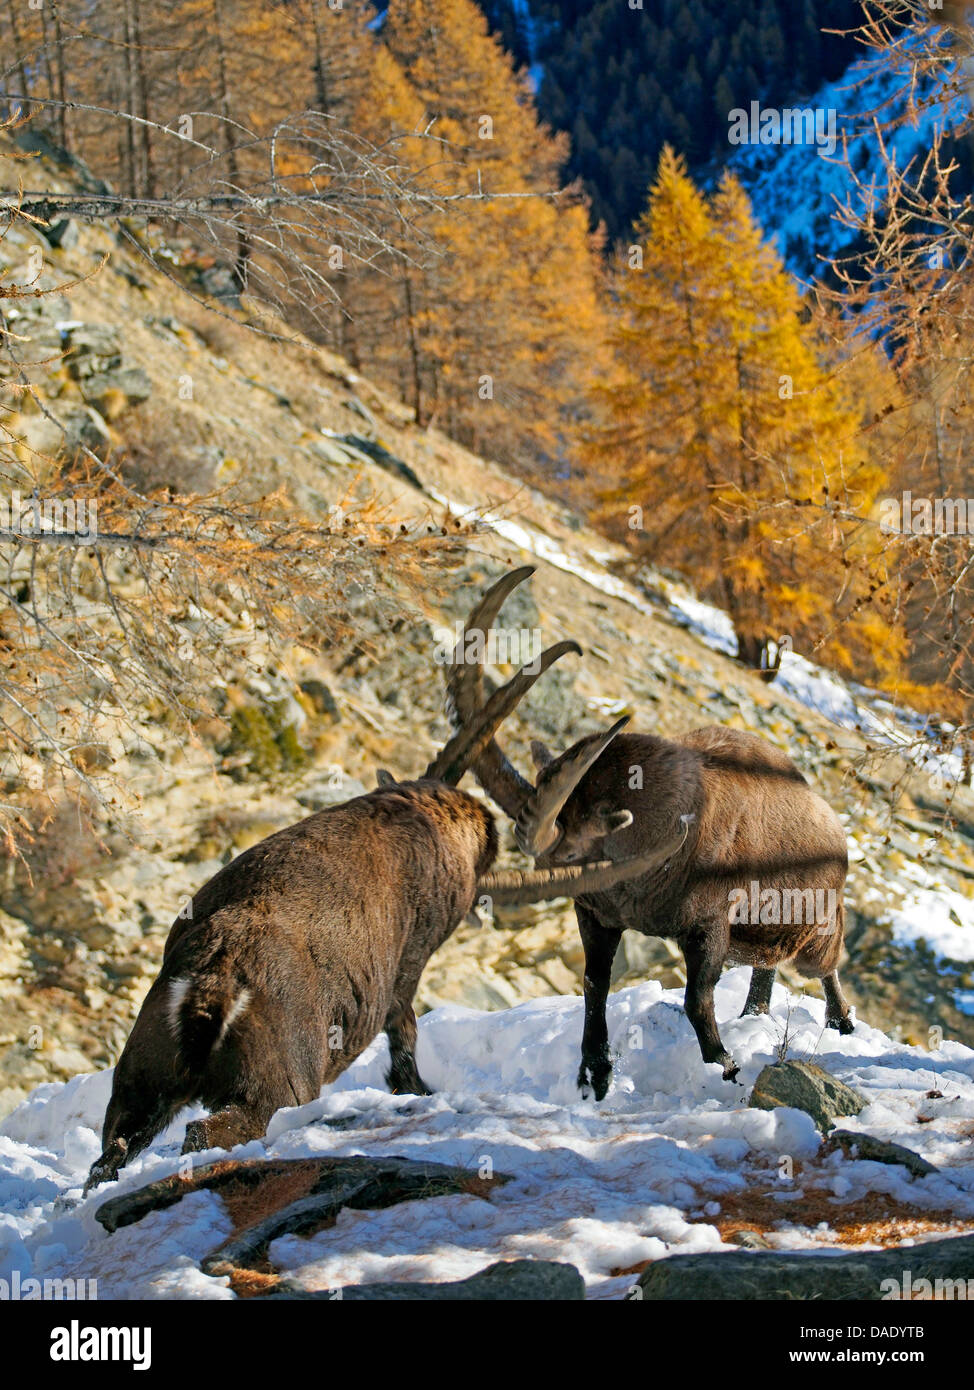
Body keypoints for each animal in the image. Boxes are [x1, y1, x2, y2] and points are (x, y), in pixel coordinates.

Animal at [85, 575, 685, 1191]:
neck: (423, 816)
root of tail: (211, 984)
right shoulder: (409, 960)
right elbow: (405, 1029)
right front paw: (418, 1090)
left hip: (140, 1076)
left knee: (113, 1148)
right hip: (275, 1084)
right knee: (206, 1132)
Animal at [448, 566, 854, 1099]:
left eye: (572, 850)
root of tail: (837, 832)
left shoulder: (709, 927)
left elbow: (696, 1001)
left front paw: (726, 1069)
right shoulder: (598, 916)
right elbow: (594, 984)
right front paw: (594, 1075)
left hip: (819, 924)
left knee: (827, 966)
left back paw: (842, 1023)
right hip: (765, 935)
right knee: (766, 969)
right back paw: (755, 1016)